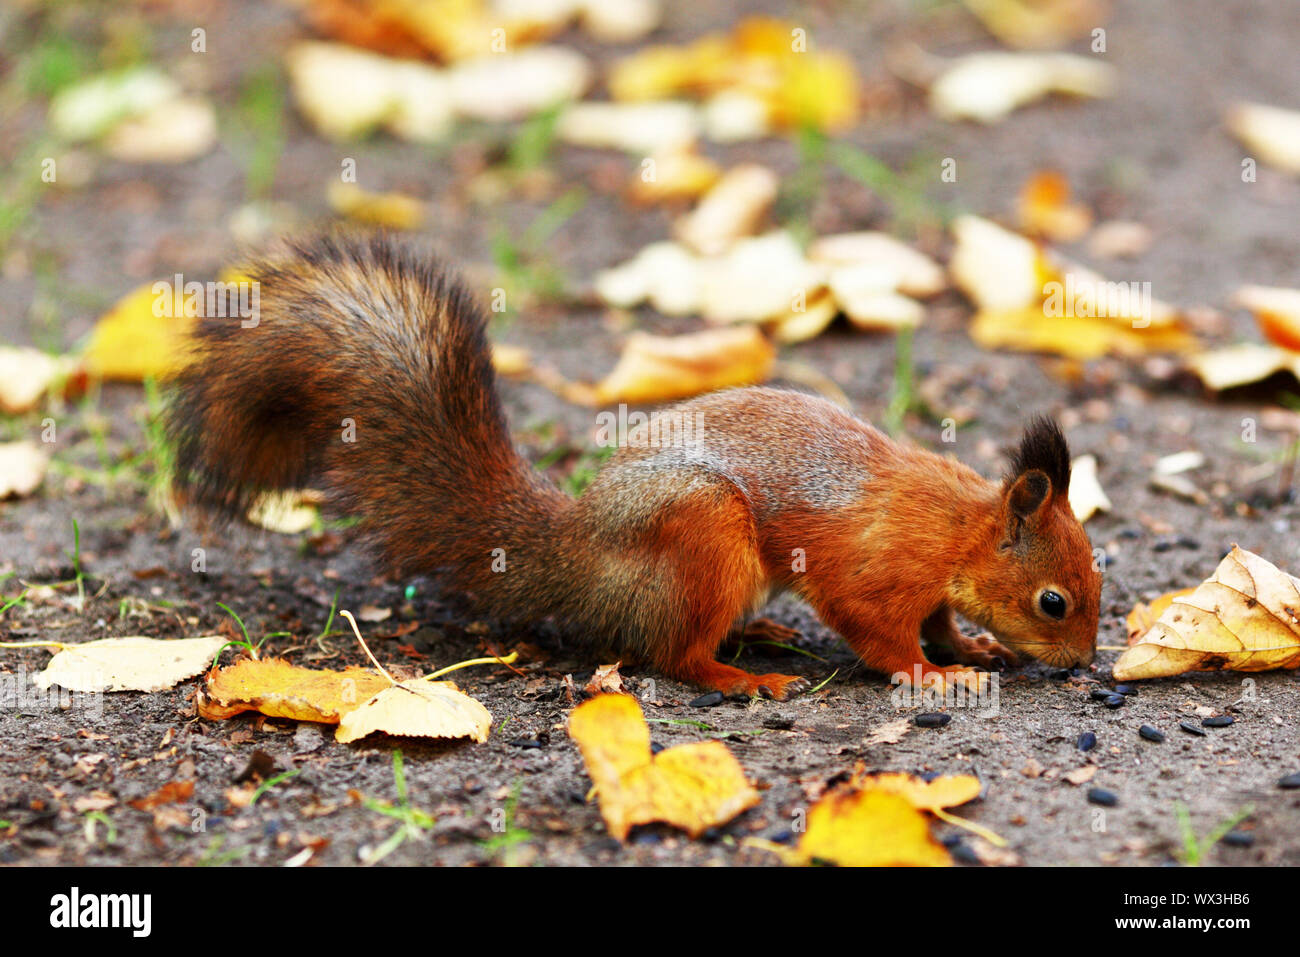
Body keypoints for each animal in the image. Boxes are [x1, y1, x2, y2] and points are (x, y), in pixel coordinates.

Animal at [167, 233, 1102, 701]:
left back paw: (759, 635)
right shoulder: (880, 570)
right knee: (673, 654)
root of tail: (576, 555)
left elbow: (940, 619)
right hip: (705, 534)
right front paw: (933, 673)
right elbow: (879, 632)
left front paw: (969, 644)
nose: (1084, 664)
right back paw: (743, 675)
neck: (961, 528)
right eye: (1054, 600)